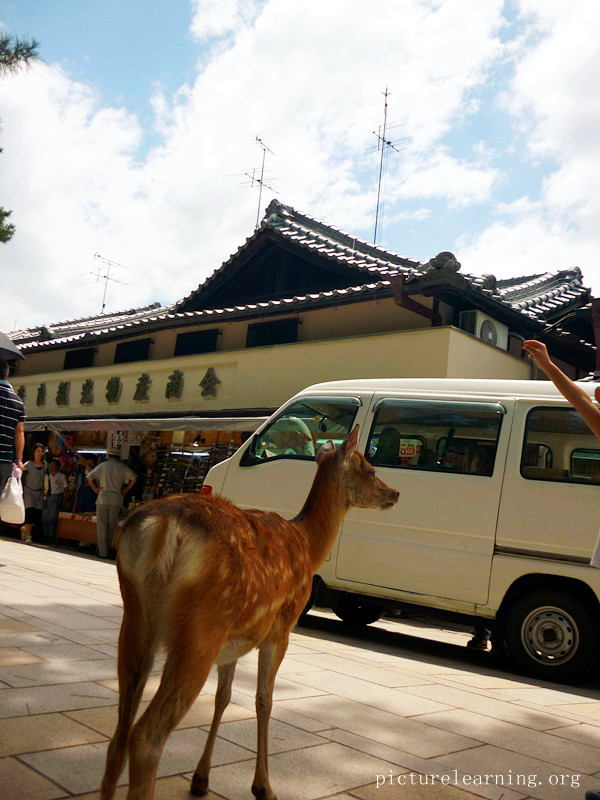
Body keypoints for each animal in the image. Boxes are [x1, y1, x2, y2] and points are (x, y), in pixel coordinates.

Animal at [100, 424, 399, 800]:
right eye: (371, 469)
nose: (395, 493)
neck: (309, 544)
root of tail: (163, 528)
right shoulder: (281, 627)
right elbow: (263, 700)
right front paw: (263, 786)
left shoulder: (235, 638)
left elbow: (224, 697)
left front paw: (201, 778)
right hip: (199, 630)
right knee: (146, 737)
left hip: (137, 618)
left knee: (119, 734)